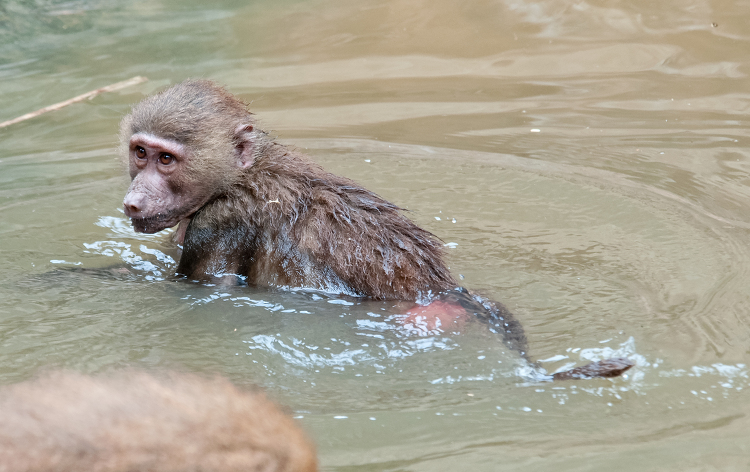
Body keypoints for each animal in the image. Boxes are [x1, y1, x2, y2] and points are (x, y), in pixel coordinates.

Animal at [120, 79, 633, 380]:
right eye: (140, 153)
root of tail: (440, 286)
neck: (238, 176)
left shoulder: (221, 222)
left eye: (167, 159)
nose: (133, 200)